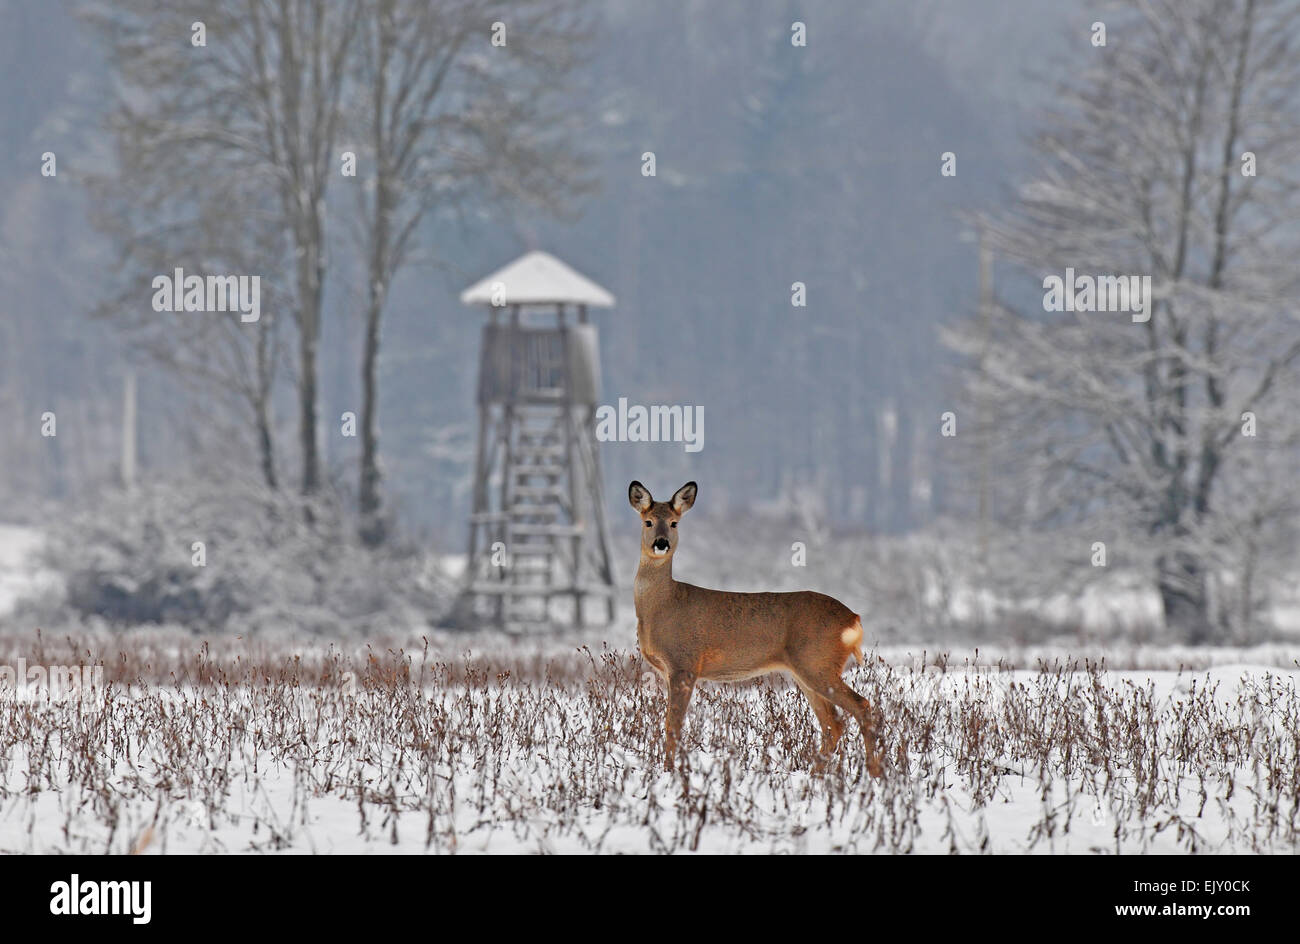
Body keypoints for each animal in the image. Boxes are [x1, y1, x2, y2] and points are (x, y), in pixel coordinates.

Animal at [628, 480, 883, 777]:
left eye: (674, 523)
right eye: (647, 521)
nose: (661, 543)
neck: (661, 607)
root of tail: (854, 618)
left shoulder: (685, 664)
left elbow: (673, 725)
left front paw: (669, 772)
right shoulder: (669, 670)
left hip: (817, 662)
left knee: (860, 706)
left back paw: (874, 772)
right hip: (808, 670)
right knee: (833, 723)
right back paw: (815, 775)